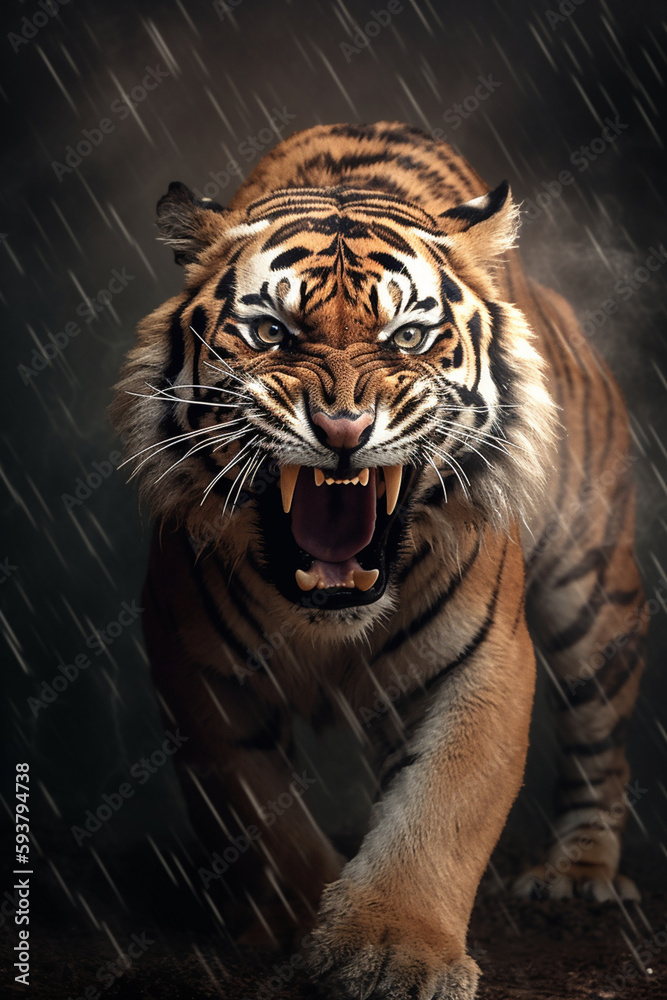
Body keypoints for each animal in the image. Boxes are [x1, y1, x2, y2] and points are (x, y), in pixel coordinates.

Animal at [112, 121, 646, 1000]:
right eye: (271, 333)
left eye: (408, 338)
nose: (341, 428)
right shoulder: (194, 665)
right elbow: (261, 812)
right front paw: (297, 925)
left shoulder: (483, 661)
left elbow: (440, 807)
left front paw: (392, 950)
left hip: (593, 588)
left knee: (600, 736)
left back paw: (576, 876)